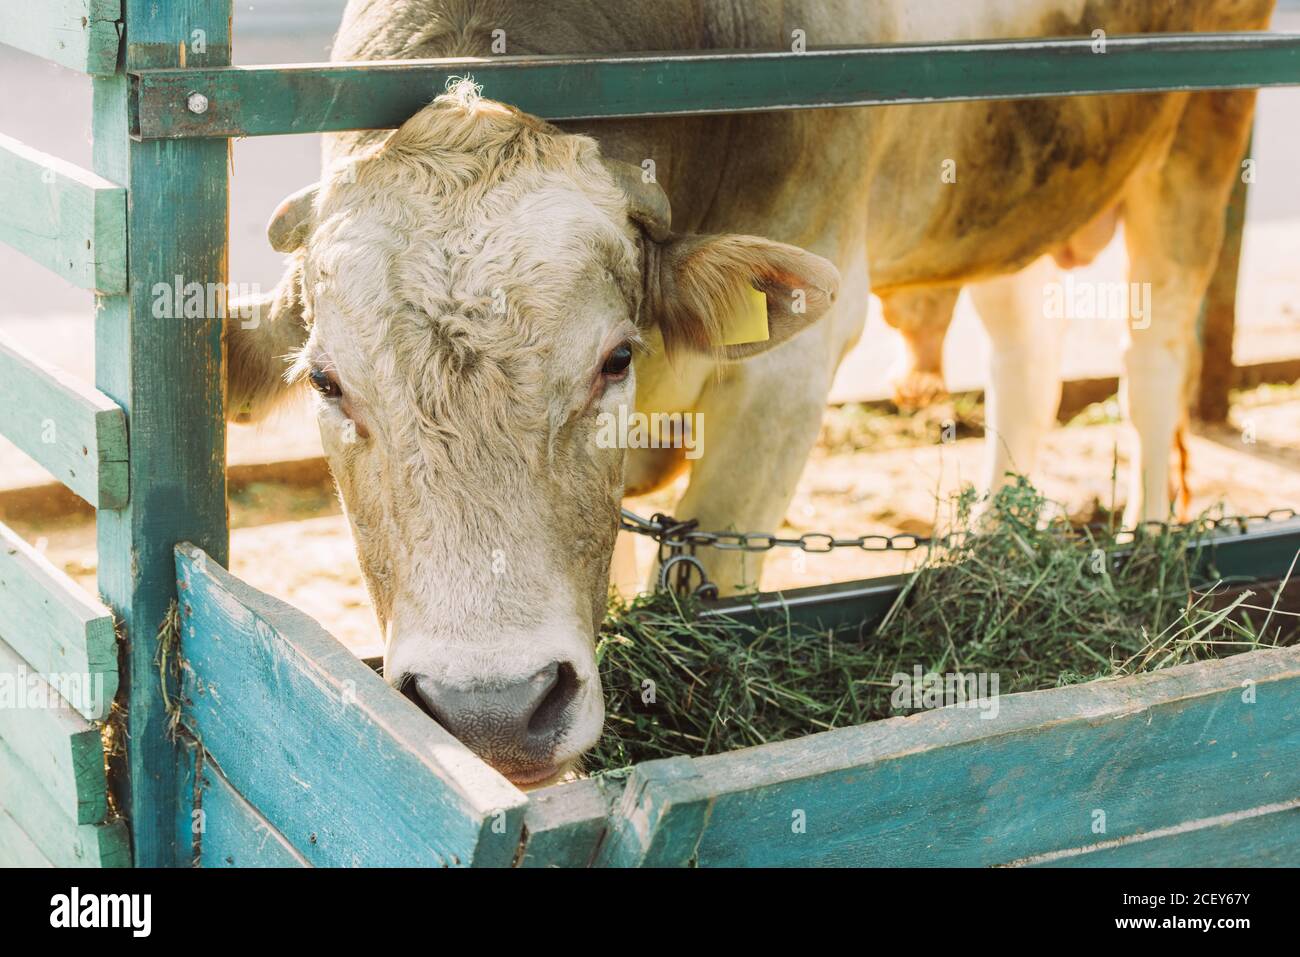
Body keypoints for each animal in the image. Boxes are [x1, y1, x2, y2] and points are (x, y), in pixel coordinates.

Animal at [227, 0, 1274, 784]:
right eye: (326, 379)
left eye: (614, 358)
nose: (490, 712)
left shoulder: (786, 373)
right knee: (1030, 354)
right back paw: (989, 543)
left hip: (1201, 128)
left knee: (1151, 361)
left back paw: (1146, 542)